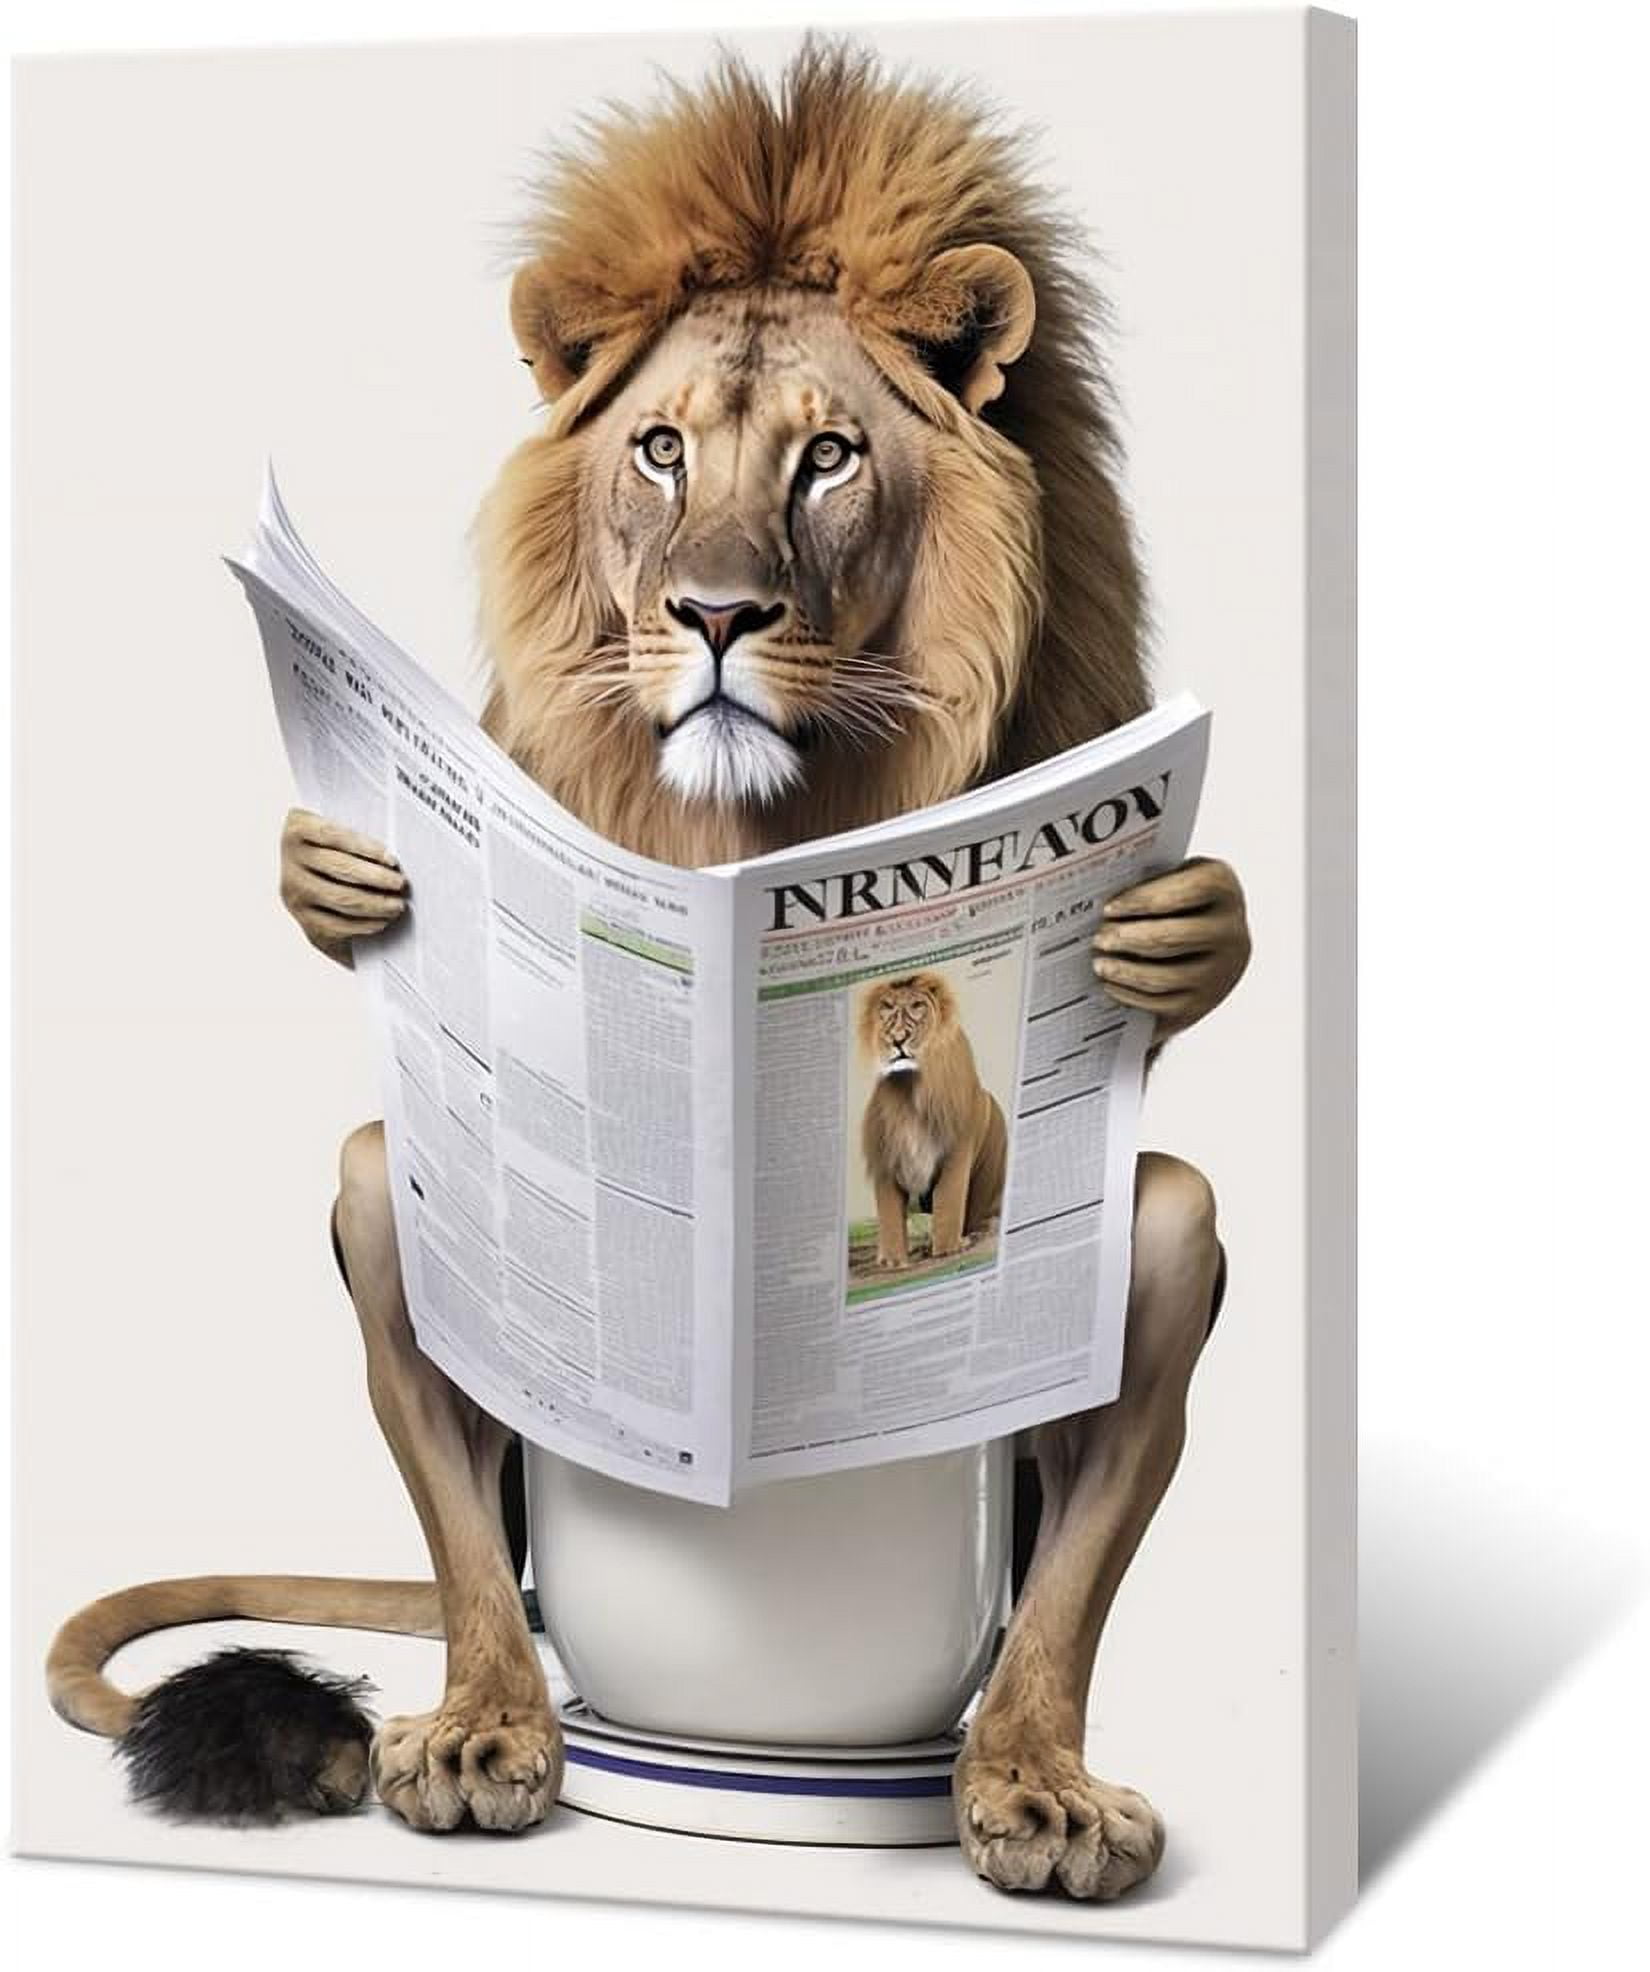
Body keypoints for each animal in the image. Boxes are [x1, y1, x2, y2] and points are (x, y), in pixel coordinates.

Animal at [859, 973, 1007, 1270]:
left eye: (917, 1006)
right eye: (887, 1007)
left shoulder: (959, 1146)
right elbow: (889, 1214)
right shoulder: (885, 1151)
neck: (909, 1088)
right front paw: (893, 1261)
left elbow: (949, 1198)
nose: (897, 1040)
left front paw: (948, 1250)